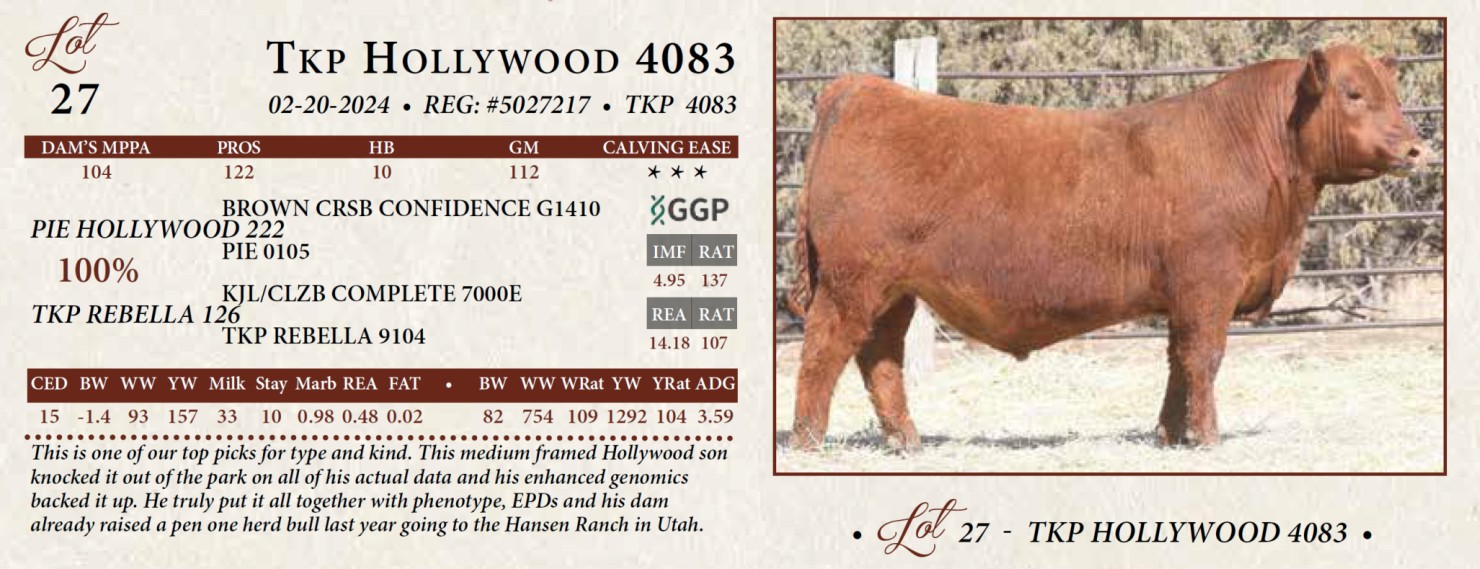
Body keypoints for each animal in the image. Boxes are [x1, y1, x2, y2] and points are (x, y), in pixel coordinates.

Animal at [786, 44, 1431, 452]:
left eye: (1393, 93)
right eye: (1353, 92)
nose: (1416, 148)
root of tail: (861, 89)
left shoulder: (1183, 297)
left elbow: (1177, 363)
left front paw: (1170, 437)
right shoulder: (1208, 286)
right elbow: (1205, 360)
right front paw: (1208, 438)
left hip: (896, 290)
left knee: (881, 358)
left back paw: (908, 442)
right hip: (851, 282)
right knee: (822, 352)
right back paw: (809, 443)